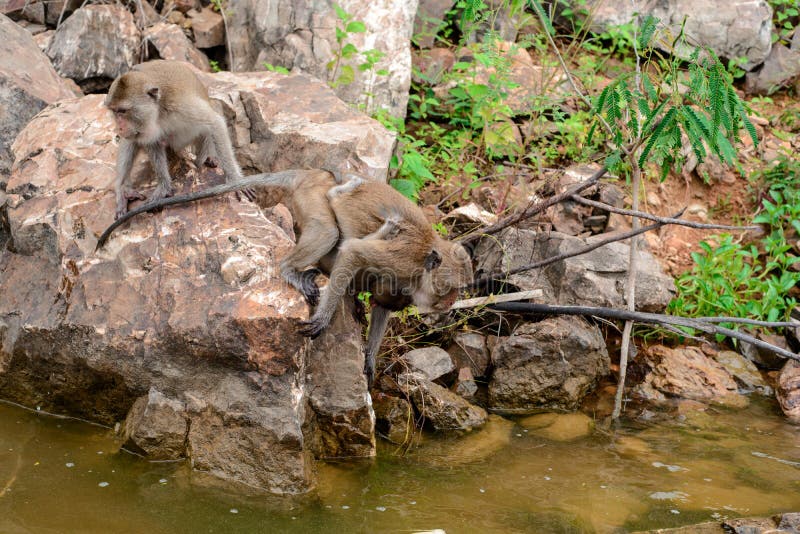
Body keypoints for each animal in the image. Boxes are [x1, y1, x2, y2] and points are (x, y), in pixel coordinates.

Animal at [96, 169, 474, 385]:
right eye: (450, 289)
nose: (451, 304)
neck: (422, 263)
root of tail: (318, 174)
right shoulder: (401, 261)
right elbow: (355, 252)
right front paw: (323, 318)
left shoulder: (402, 282)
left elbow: (384, 302)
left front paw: (369, 356)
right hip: (313, 197)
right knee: (330, 231)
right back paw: (294, 267)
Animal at [104, 60, 250, 220]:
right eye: (114, 111)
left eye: (122, 111)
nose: (119, 128)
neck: (159, 111)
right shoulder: (146, 128)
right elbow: (151, 143)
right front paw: (164, 186)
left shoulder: (182, 105)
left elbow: (215, 122)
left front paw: (235, 181)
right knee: (130, 141)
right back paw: (123, 189)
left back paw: (209, 156)